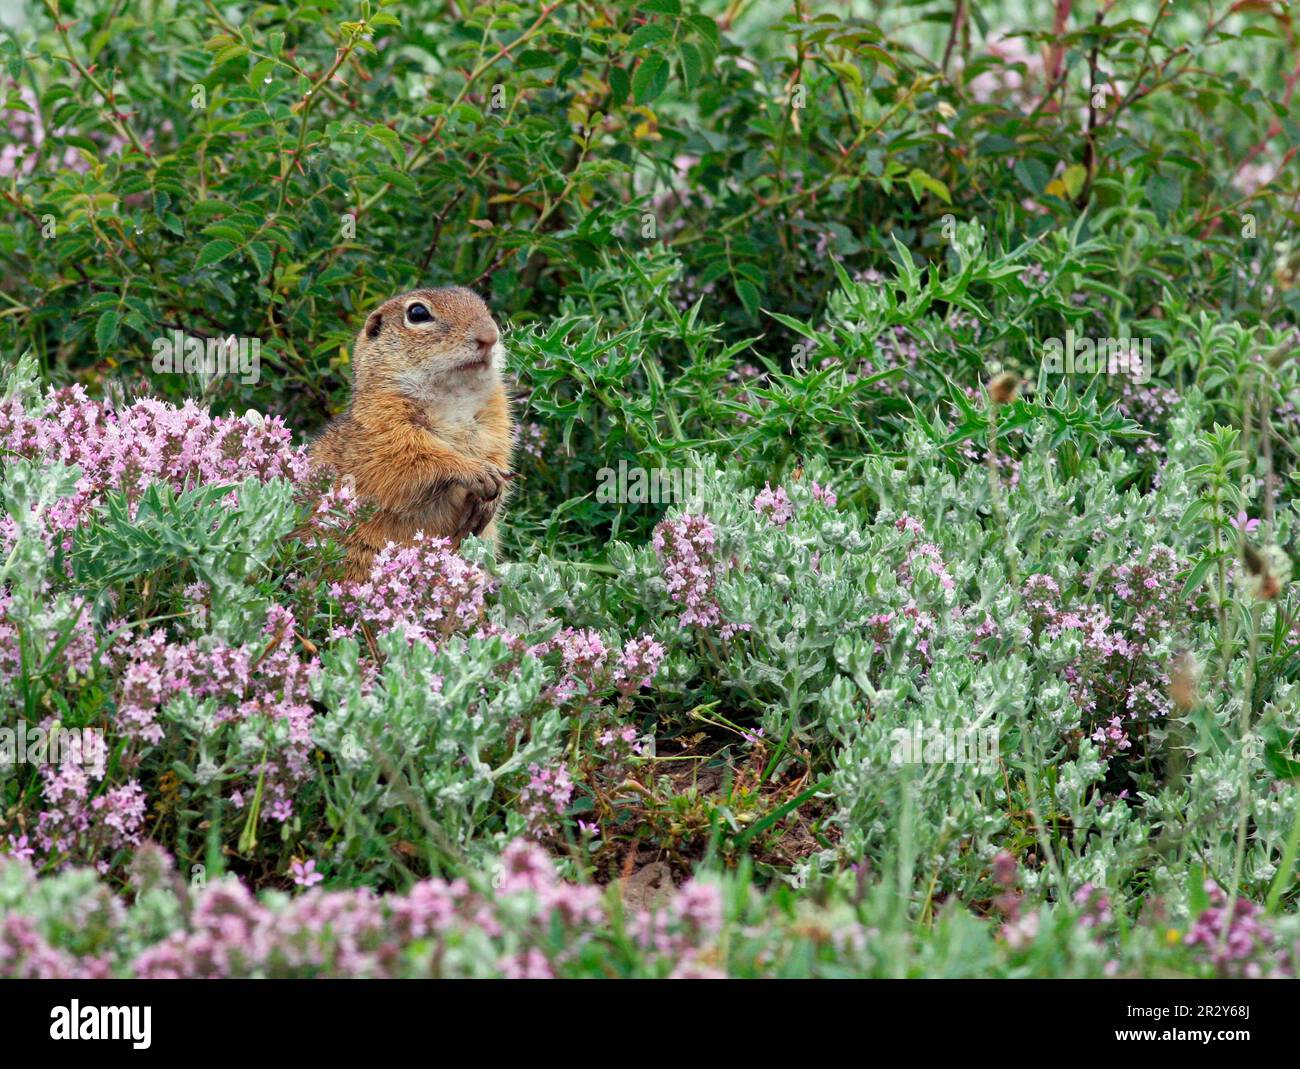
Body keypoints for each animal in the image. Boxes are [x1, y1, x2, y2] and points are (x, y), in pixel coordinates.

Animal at [311, 286, 515, 581]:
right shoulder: (386, 427)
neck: (454, 396)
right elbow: (413, 460)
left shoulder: (496, 422)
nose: (489, 336)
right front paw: (475, 471)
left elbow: (499, 456)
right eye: (418, 313)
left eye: (483, 305)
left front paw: (492, 497)